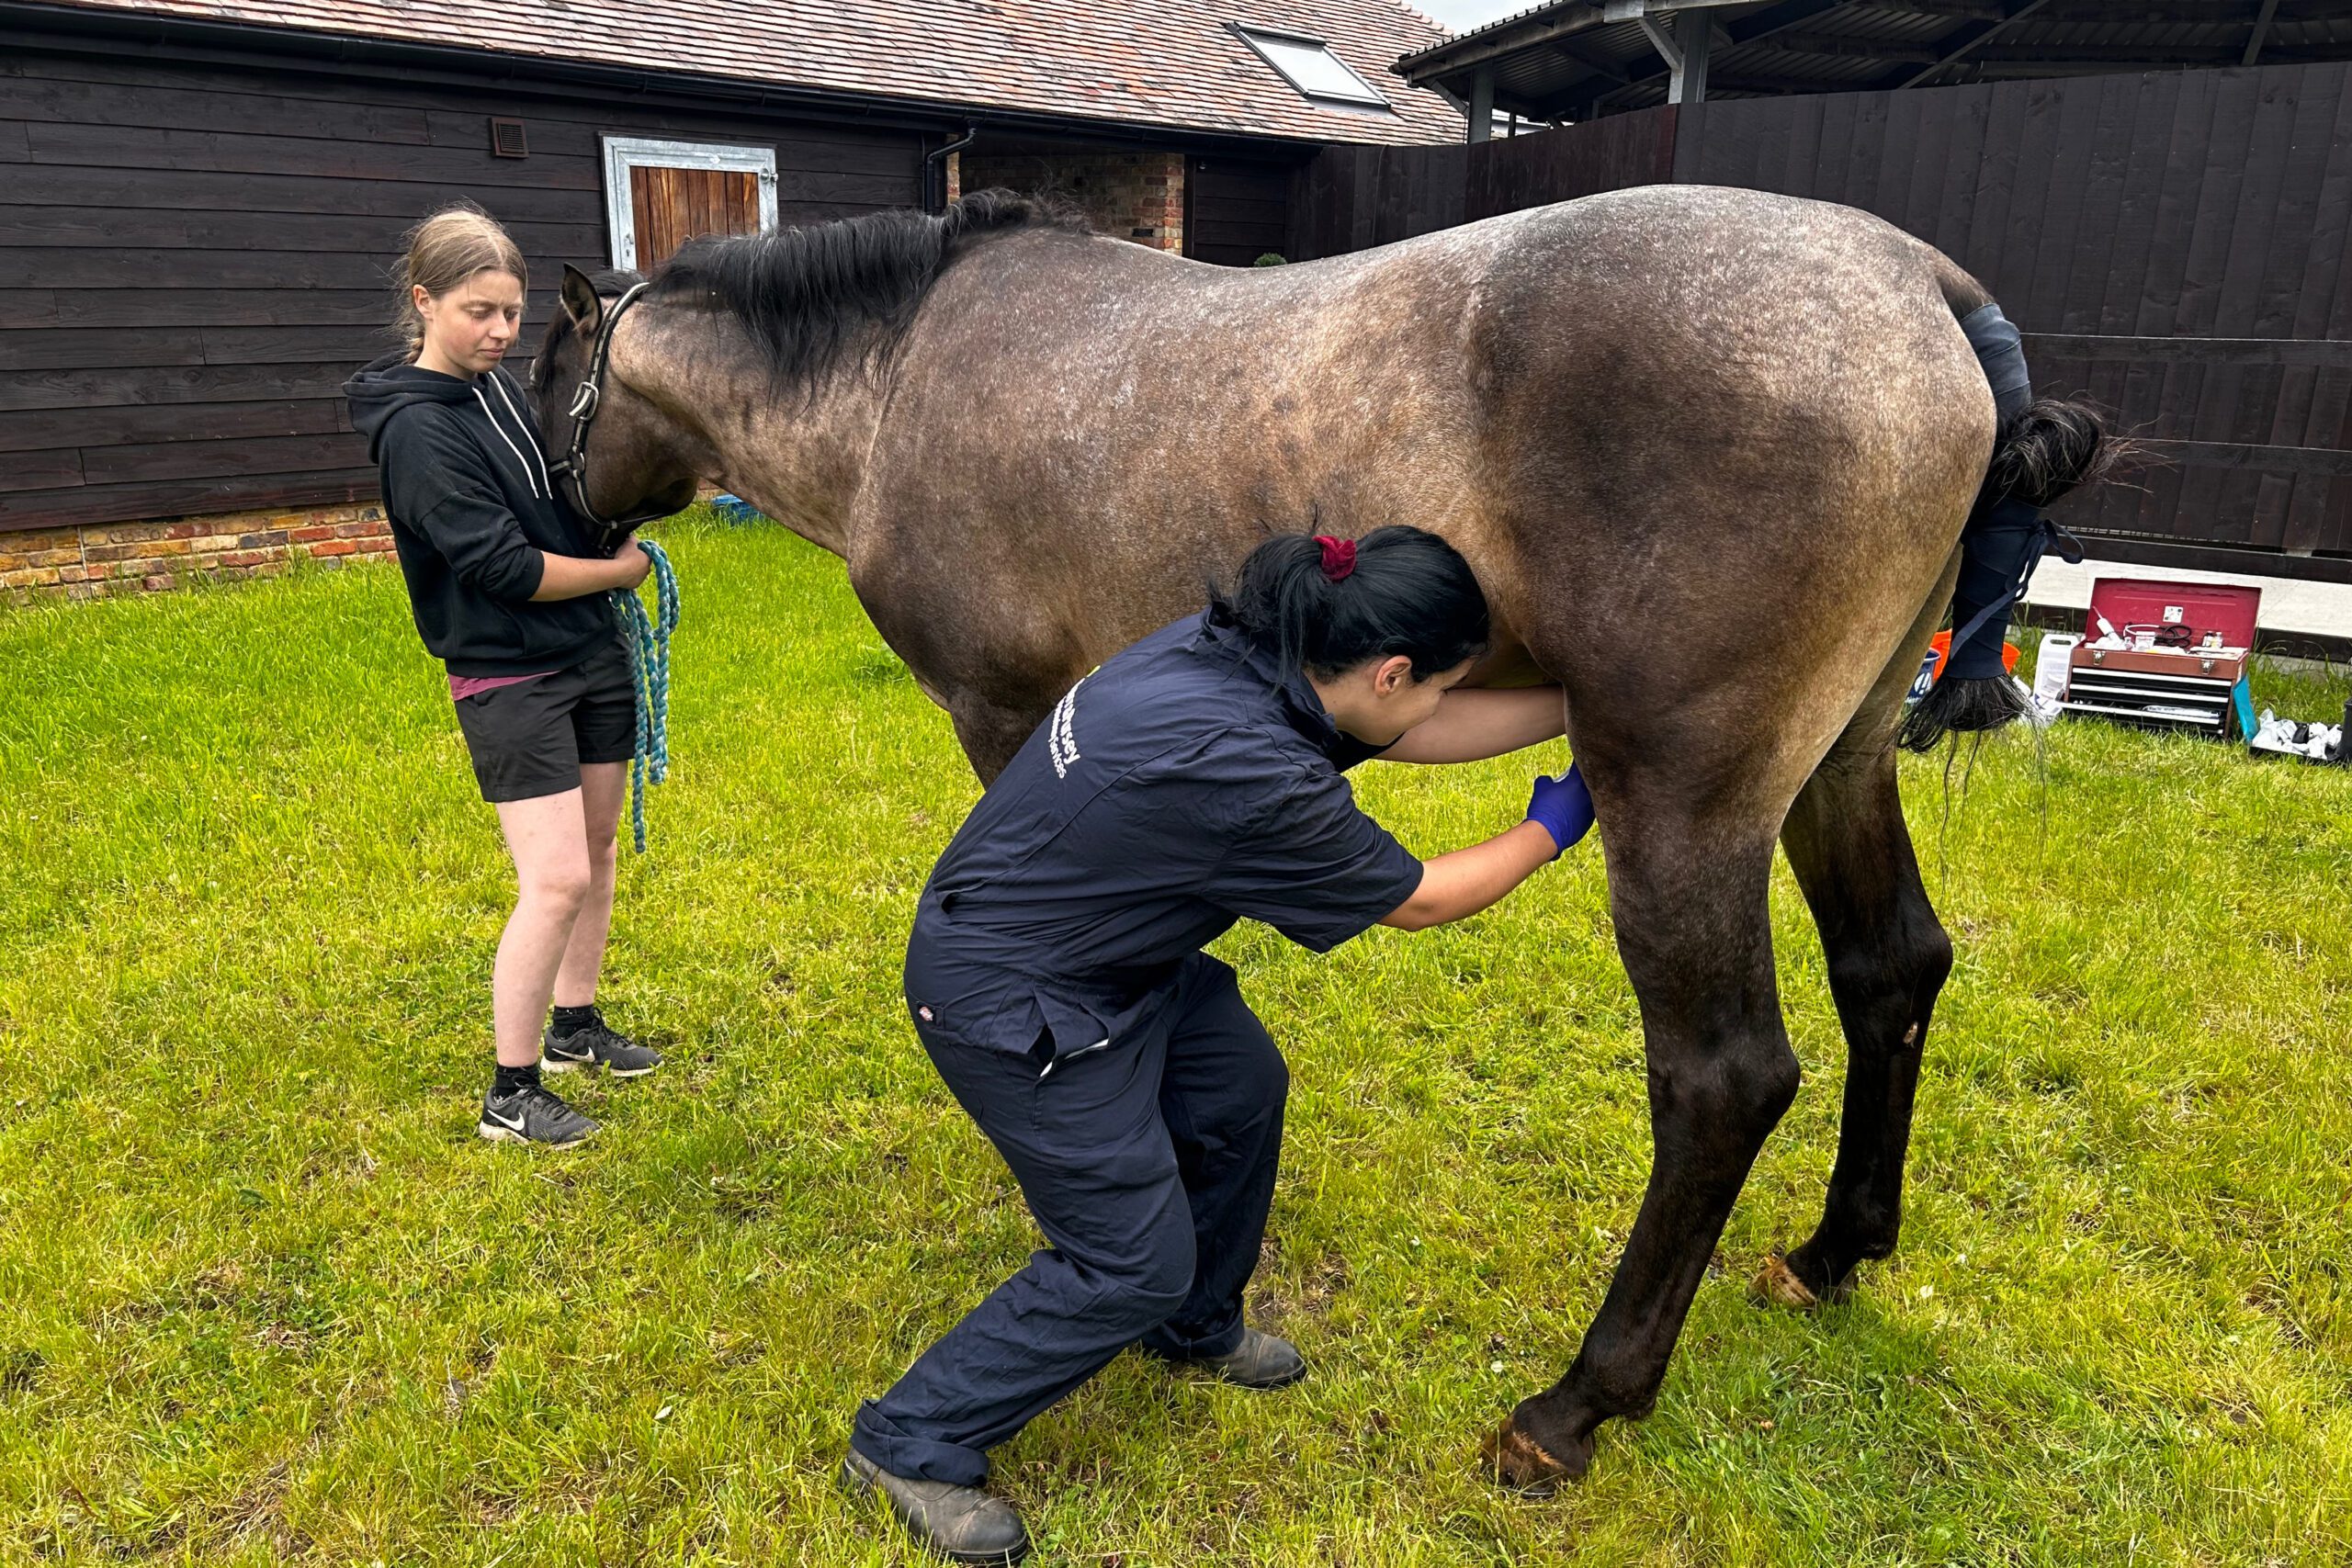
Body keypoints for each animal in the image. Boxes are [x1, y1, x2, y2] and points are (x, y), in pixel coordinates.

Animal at [529, 187, 2107, 1489]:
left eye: (545, 375)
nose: (560, 520)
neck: (906, 366)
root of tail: (1925, 289)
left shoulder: (1004, 709)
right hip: (1838, 766)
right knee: (1892, 971)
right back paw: (1834, 1251)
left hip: (1685, 805)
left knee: (1724, 1076)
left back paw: (1573, 1408)